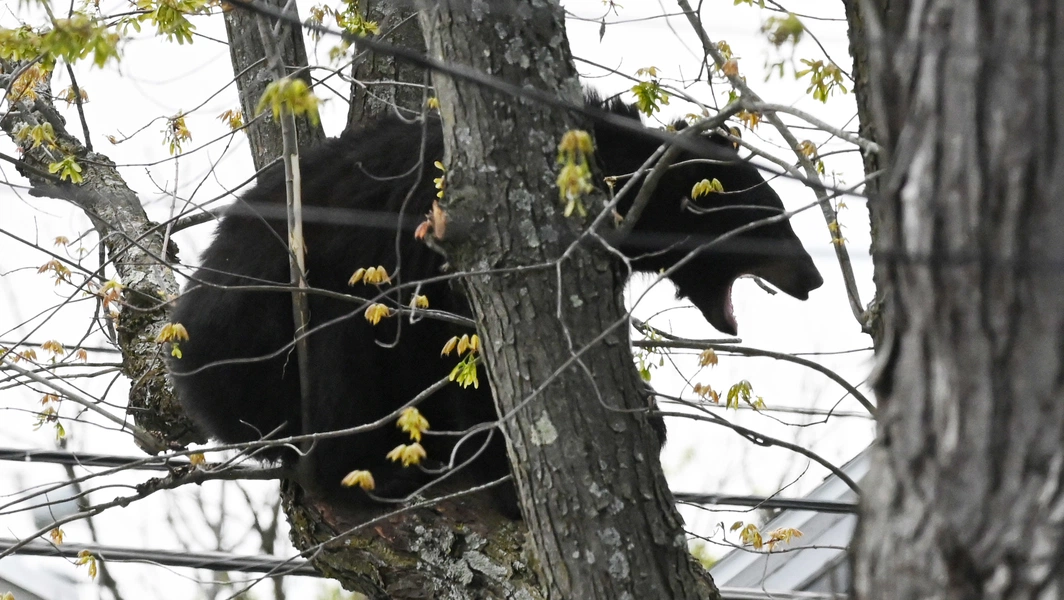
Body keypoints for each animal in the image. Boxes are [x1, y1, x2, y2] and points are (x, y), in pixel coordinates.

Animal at [167, 93, 823, 514]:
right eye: (773, 220)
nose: (814, 278)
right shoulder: (440, 256)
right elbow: (473, 358)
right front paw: (505, 473)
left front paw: (647, 412)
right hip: (298, 321)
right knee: (343, 371)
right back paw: (374, 471)